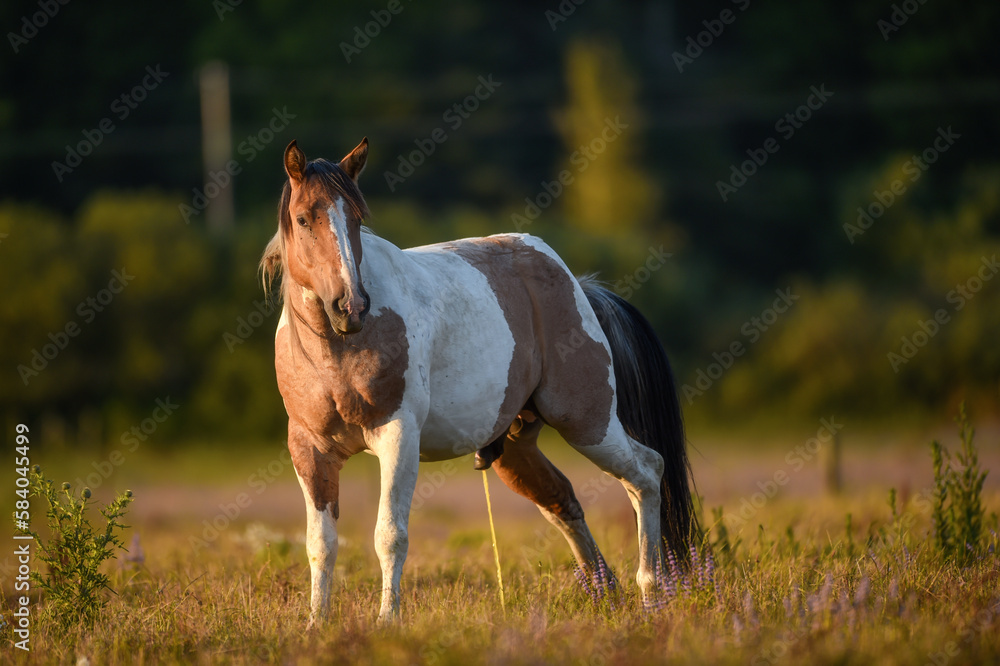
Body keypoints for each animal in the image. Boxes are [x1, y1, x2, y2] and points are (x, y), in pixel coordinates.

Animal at [260, 138, 697, 623]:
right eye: (304, 218)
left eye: (357, 219)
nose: (350, 306)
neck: (337, 352)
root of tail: (577, 286)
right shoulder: (309, 450)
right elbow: (321, 545)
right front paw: (316, 625)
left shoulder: (397, 437)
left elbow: (389, 535)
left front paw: (387, 621)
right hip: (518, 450)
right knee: (563, 501)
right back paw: (607, 594)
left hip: (589, 424)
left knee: (646, 473)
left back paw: (652, 593)